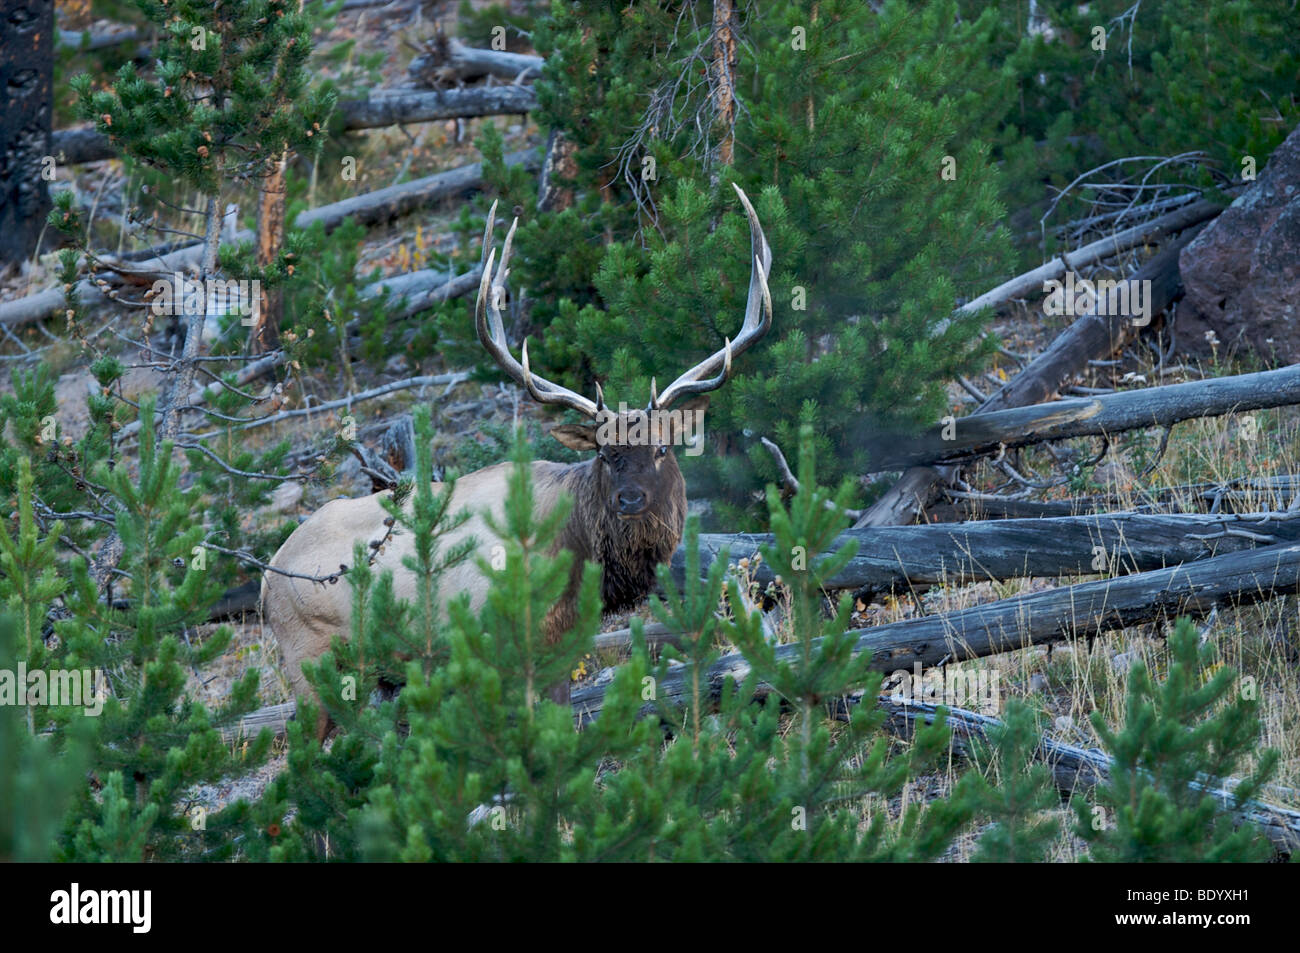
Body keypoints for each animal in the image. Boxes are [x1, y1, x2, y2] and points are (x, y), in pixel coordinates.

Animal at [262, 184, 771, 735]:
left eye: (660, 447)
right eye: (604, 452)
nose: (631, 498)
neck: (575, 560)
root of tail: (268, 577)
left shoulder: (560, 647)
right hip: (308, 657)